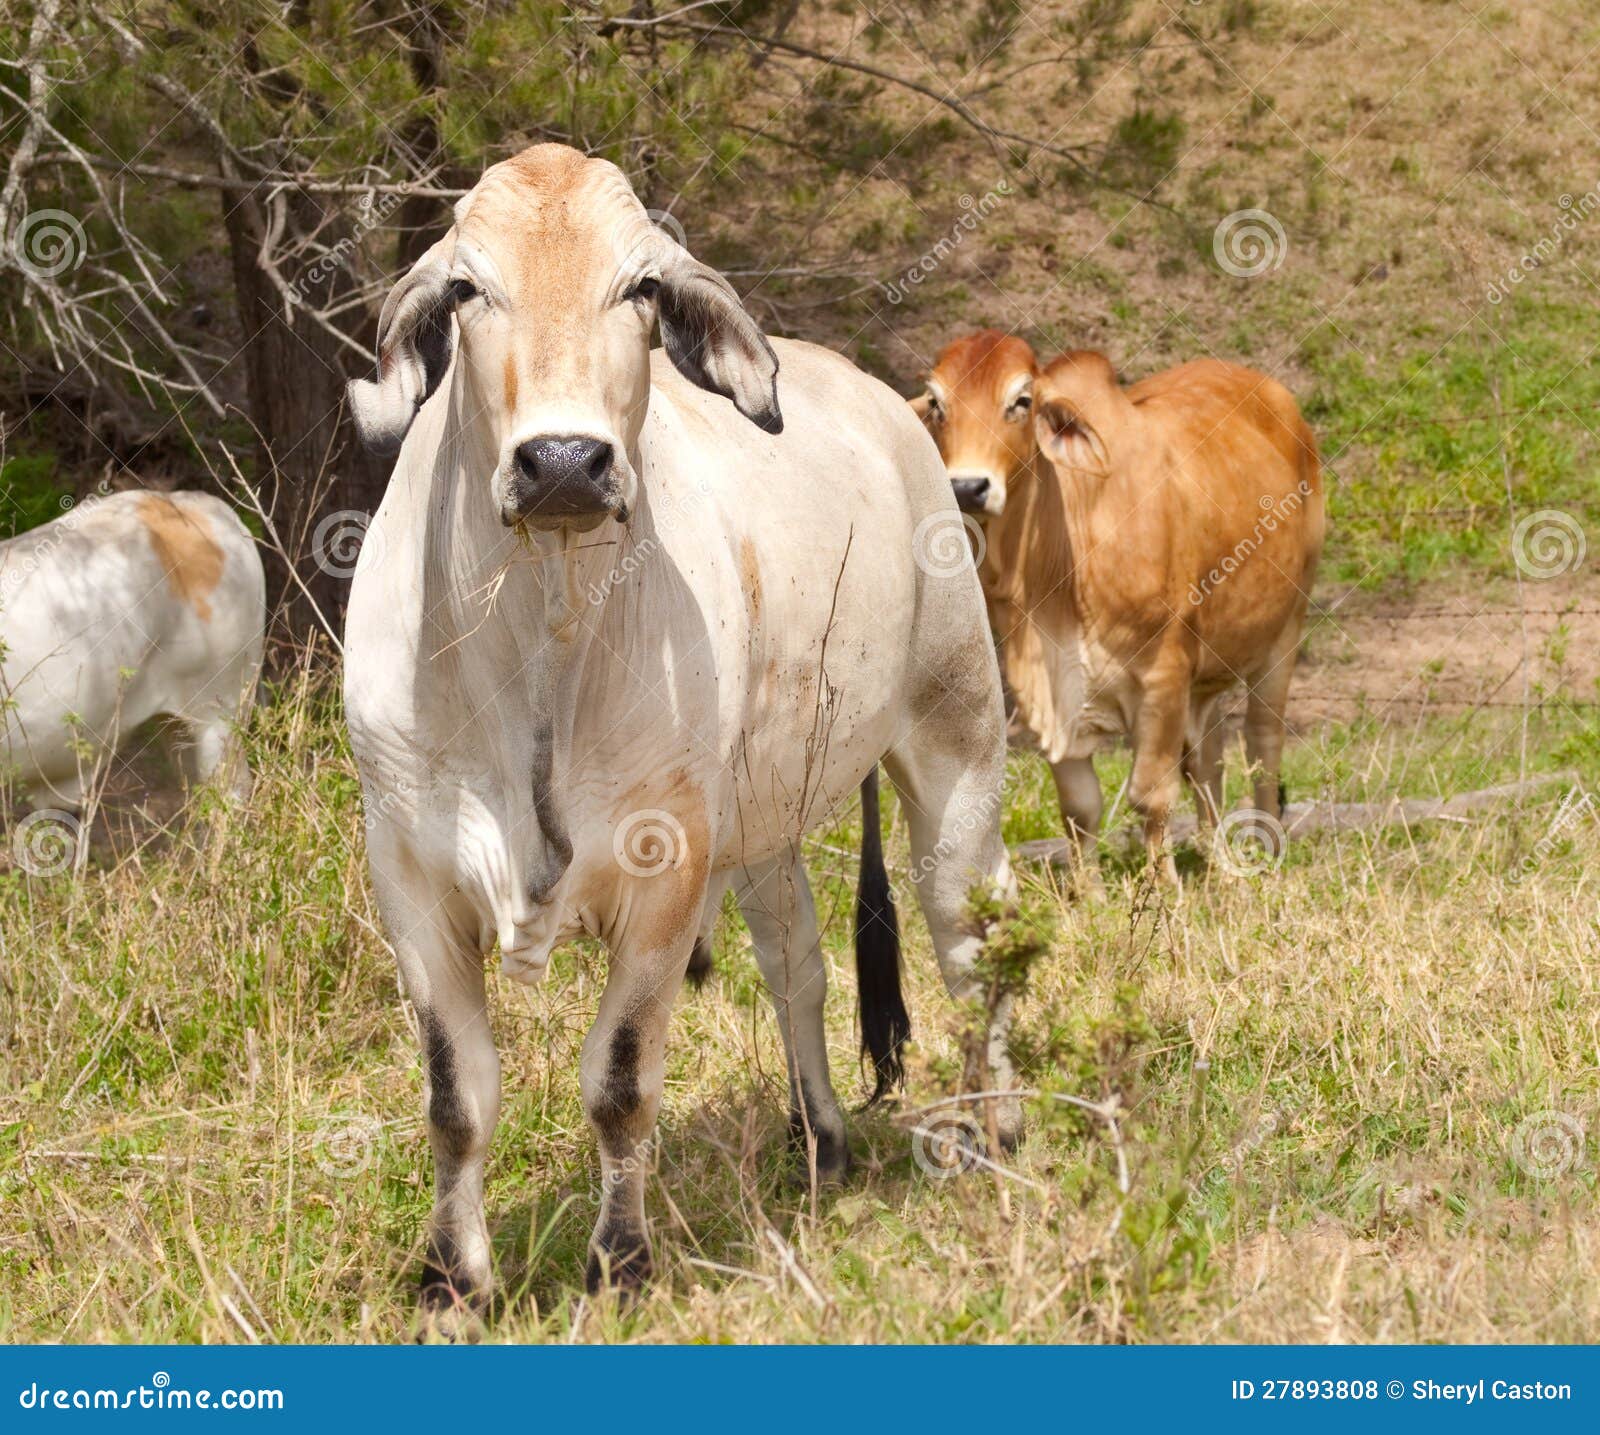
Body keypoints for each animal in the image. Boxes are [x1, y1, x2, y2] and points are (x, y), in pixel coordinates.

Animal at [342, 144, 1019, 1327]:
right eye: (467, 287)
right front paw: (452, 1278)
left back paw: (999, 1124)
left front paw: (619, 1261)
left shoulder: (664, 870)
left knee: (972, 938)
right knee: (798, 962)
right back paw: (821, 1138)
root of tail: (893, 408)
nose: (564, 461)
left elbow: (618, 1081)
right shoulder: (411, 879)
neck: (547, 639)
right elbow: (457, 1095)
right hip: (764, 822)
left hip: (958, 743)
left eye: (642, 289)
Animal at [915, 332, 1324, 882]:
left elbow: (1151, 795)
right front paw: (1089, 894)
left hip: (1285, 632)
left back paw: (1266, 852)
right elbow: (1080, 806)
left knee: (1263, 746)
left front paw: (1162, 889)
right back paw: (1219, 864)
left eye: (1022, 400)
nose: (967, 487)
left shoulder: (1163, 676)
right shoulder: (1046, 694)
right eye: (937, 403)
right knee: (1208, 758)